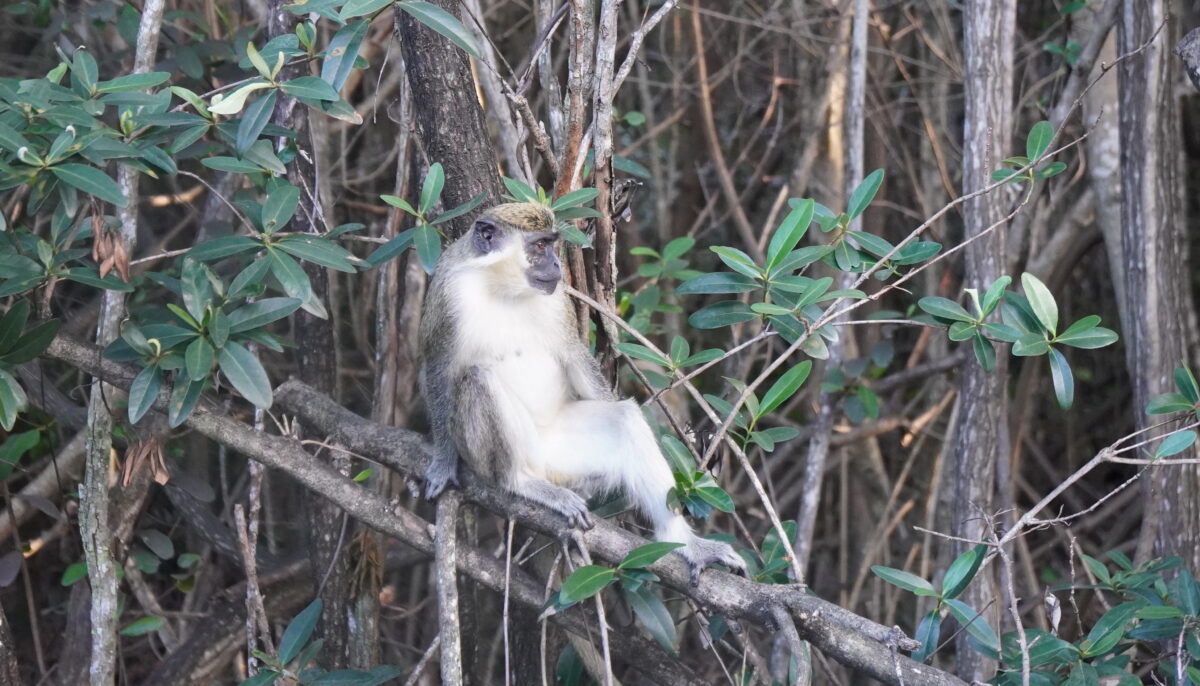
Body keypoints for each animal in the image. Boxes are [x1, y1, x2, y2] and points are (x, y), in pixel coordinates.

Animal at [419, 202, 745, 583]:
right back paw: (521, 482)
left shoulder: (557, 296)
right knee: (478, 378)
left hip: (564, 453)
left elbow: (573, 355)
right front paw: (443, 461)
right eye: (539, 246)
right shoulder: (446, 290)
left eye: (552, 243)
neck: (502, 286)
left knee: (624, 417)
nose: (557, 265)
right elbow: (438, 366)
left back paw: (684, 544)